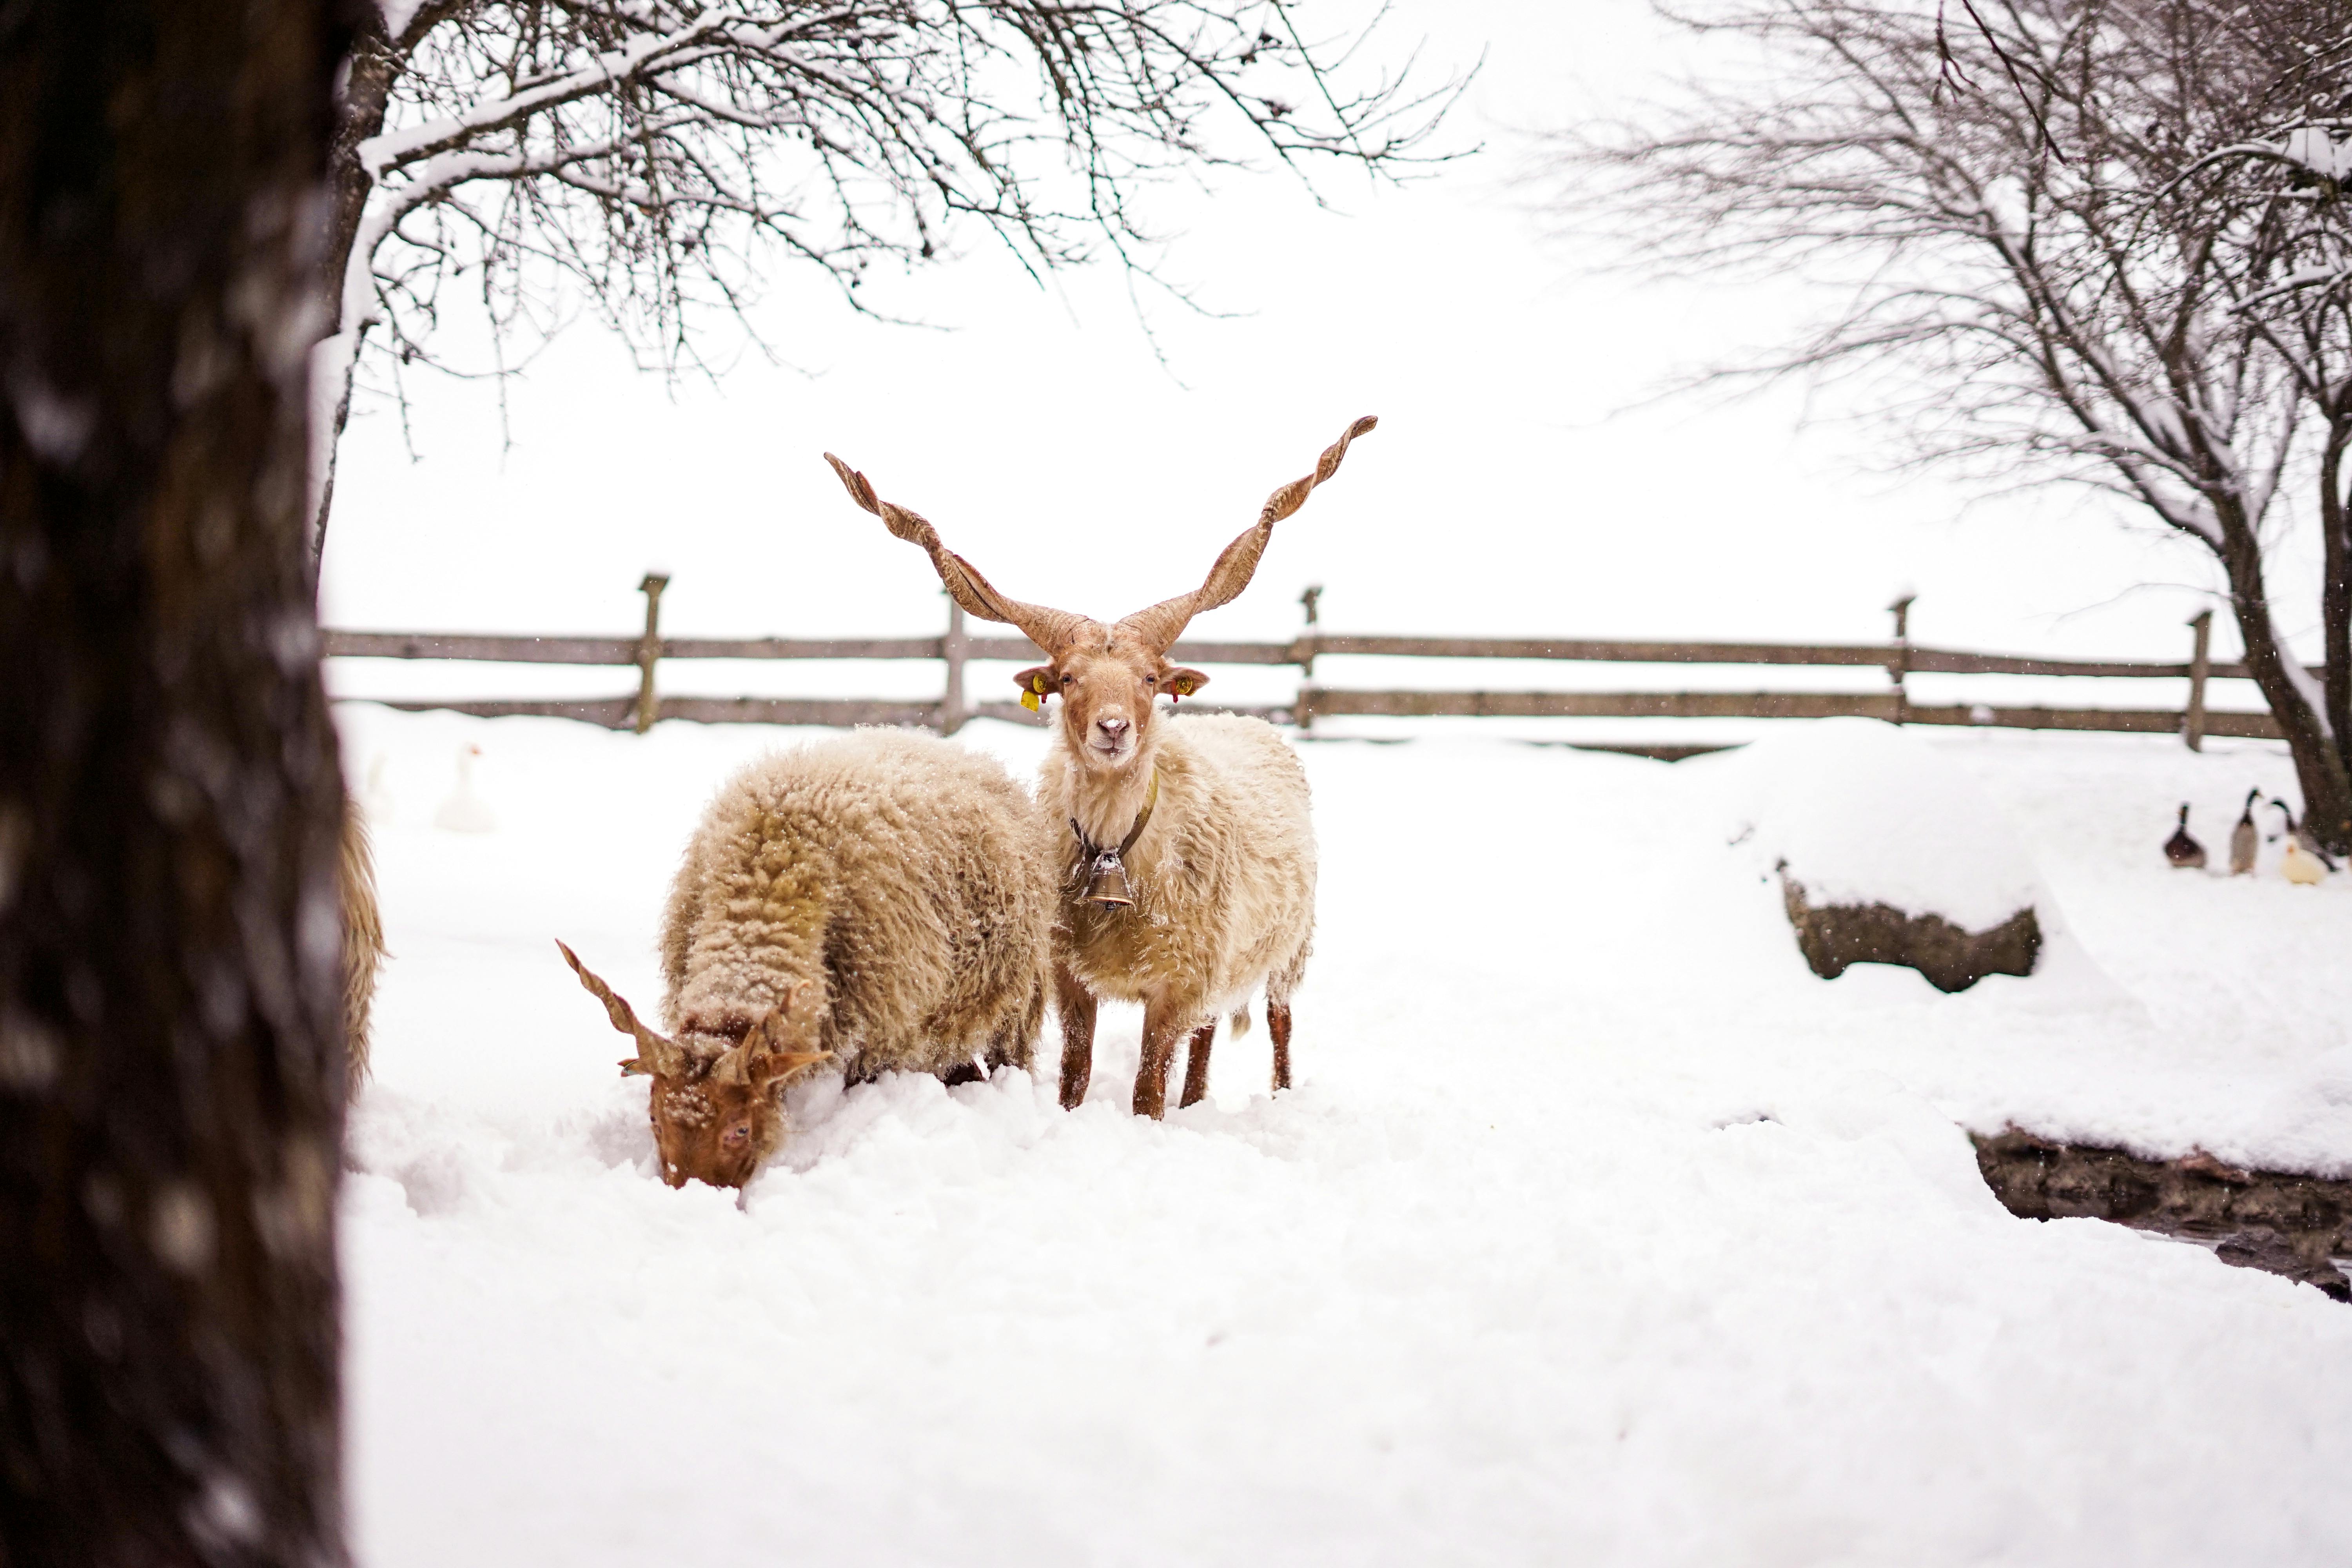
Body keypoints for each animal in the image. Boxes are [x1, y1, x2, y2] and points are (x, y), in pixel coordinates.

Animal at [558, 730, 1057, 1189]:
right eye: (655, 1119)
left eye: (740, 1129)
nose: (690, 1197)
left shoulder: (880, 1041)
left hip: (1016, 1002)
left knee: (1006, 1061)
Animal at [823, 416, 1374, 1118]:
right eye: (1067, 678)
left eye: (1149, 678)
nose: (1113, 729)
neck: (1118, 850)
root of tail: (1237, 719)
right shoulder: (1072, 974)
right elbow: (1076, 1070)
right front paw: (1073, 1114)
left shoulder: (1175, 978)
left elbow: (1146, 1084)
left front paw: (1148, 1124)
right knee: (1207, 1037)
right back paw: (1195, 1104)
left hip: (1290, 946)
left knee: (1279, 1023)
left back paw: (1277, 1096)